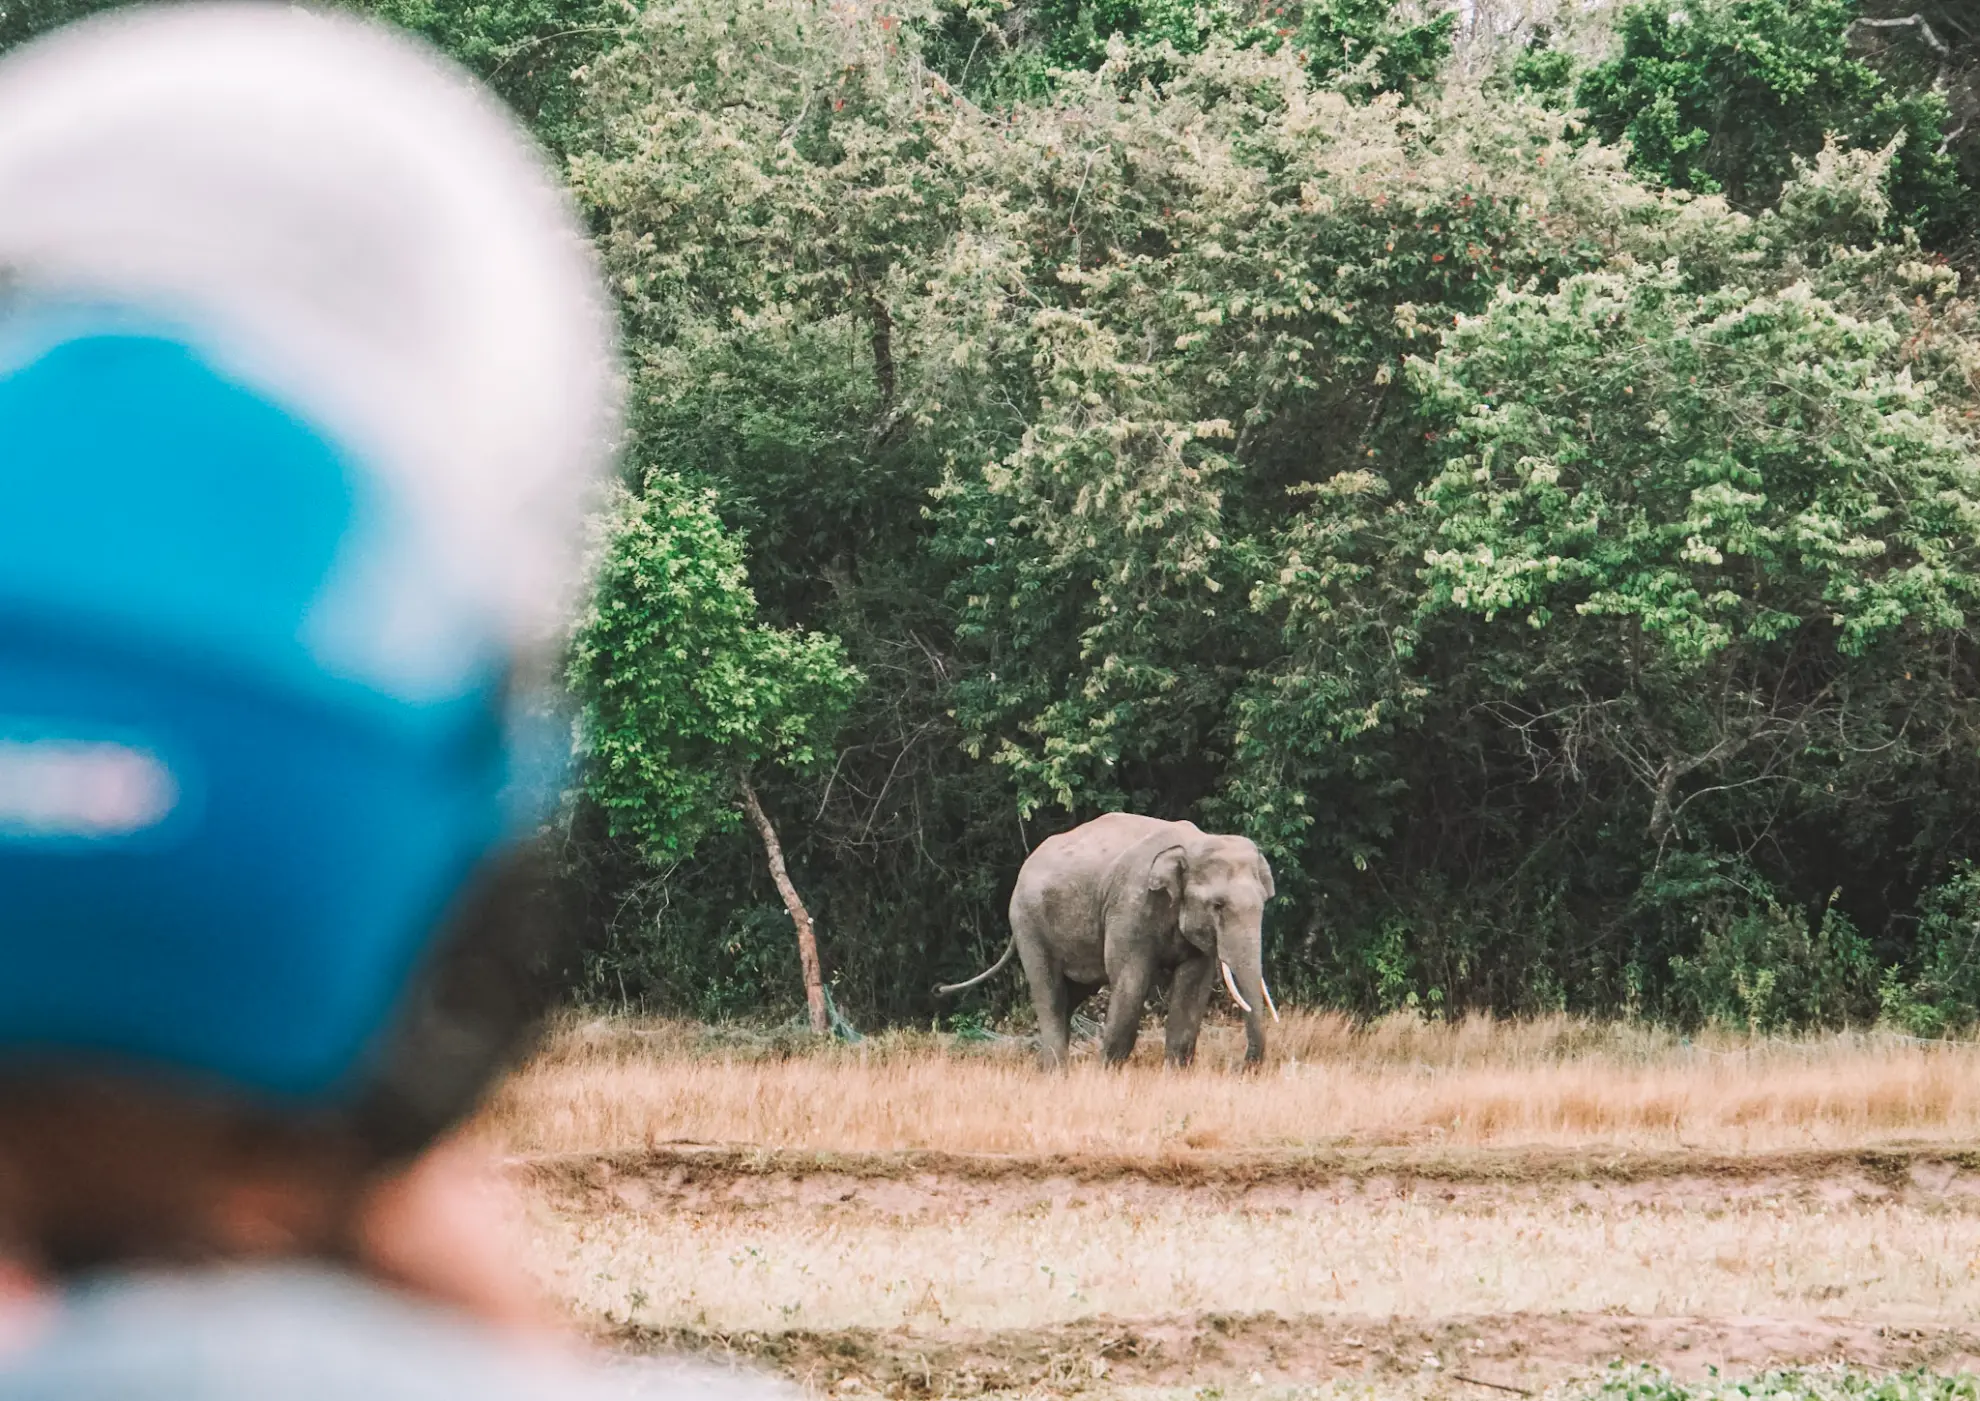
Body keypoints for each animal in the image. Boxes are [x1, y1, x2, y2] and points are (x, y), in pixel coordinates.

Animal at [936, 813, 1278, 1069]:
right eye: (1217, 906)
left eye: (1264, 903)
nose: (1239, 1067)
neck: (1193, 844)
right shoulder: (1129, 906)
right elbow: (1131, 980)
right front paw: (1106, 1075)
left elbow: (1193, 986)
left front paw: (1174, 1074)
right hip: (1027, 922)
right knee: (1049, 992)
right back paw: (1058, 1074)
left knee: (1071, 995)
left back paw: (1046, 1072)